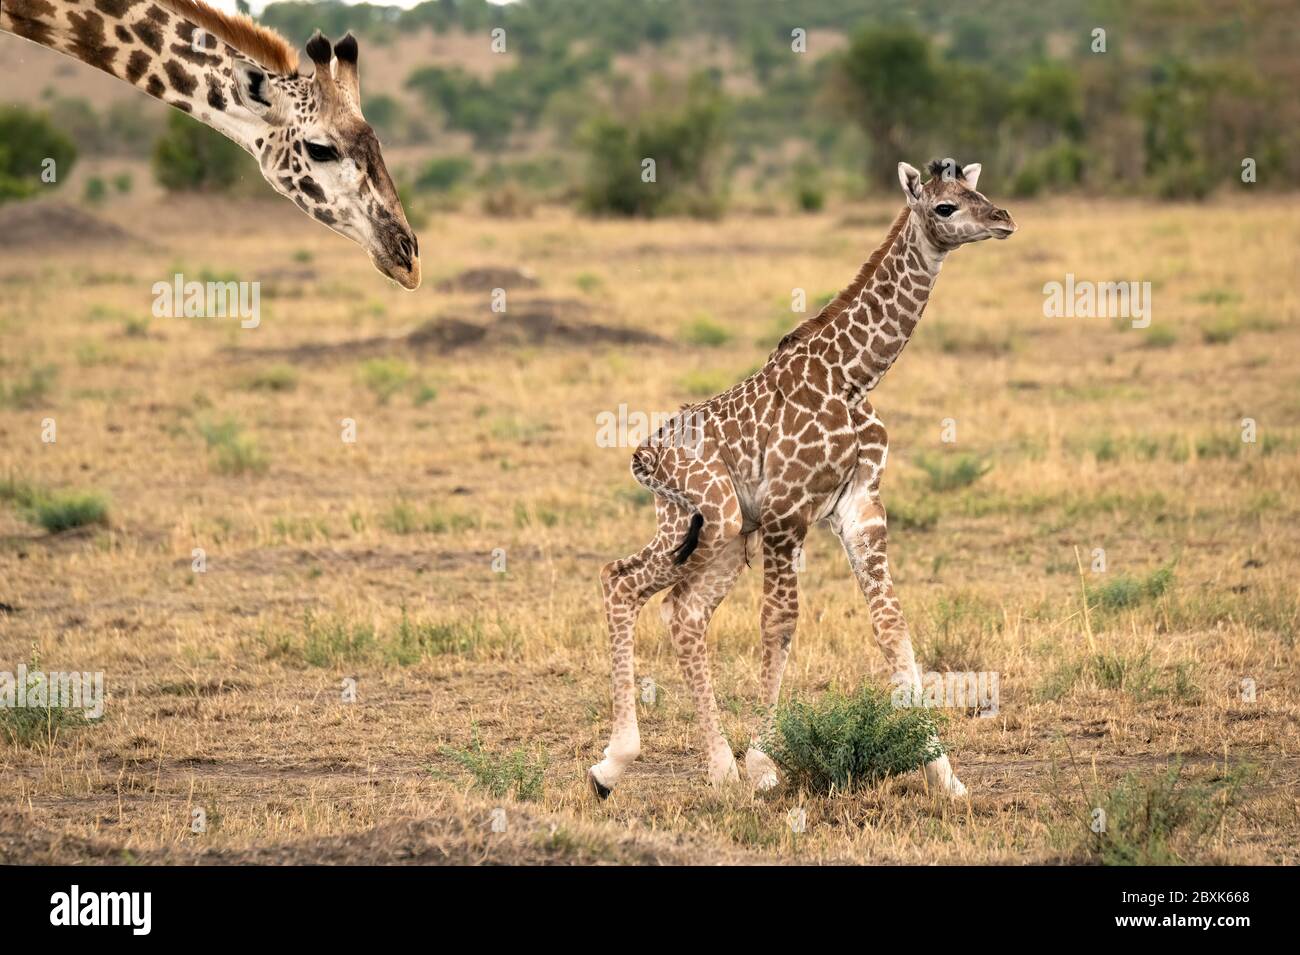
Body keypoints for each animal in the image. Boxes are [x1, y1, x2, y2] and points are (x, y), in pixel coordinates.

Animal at [590, 159, 1017, 799]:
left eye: (976, 190)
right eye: (945, 207)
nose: (1004, 219)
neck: (853, 376)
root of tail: (645, 451)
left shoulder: (861, 509)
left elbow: (892, 628)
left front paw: (945, 776)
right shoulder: (788, 511)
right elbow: (779, 626)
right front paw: (763, 764)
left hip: (723, 534)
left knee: (679, 610)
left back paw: (680, 770)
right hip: (709, 514)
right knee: (624, 582)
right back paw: (651, 764)